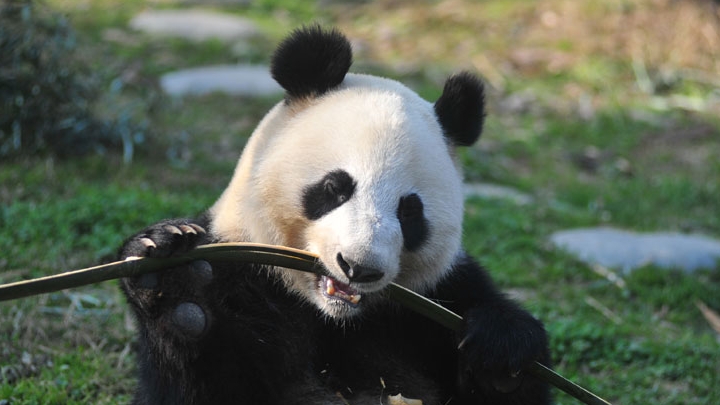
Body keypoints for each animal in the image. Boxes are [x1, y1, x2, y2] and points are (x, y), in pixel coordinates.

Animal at [119, 25, 551, 405]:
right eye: (335, 188)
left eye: (410, 212)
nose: (359, 267)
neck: (332, 317)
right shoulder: (241, 269)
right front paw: (173, 282)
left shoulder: (437, 297)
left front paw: (502, 354)